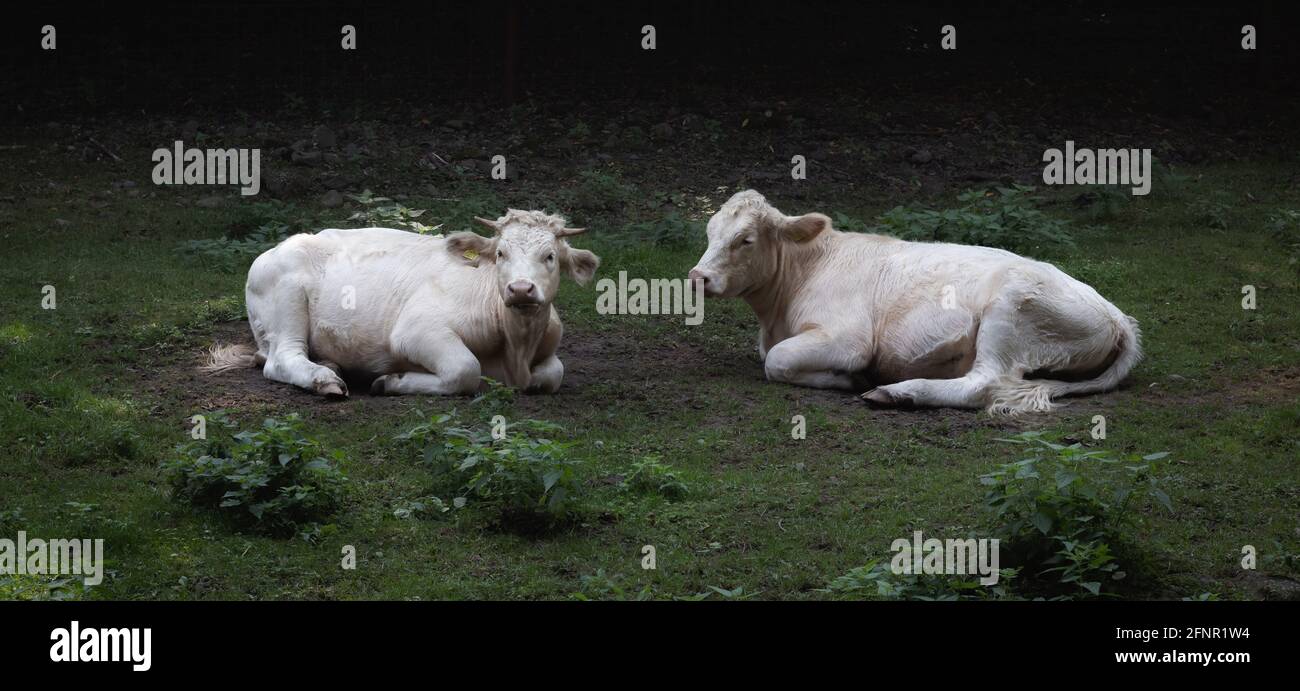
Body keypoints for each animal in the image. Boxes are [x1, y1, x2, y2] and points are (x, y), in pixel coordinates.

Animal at [204, 209, 600, 397]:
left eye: (550, 256)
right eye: (500, 253)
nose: (520, 289)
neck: (516, 348)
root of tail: (274, 249)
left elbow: (553, 374)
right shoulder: (416, 330)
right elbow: (465, 370)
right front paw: (390, 381)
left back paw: (332, 365)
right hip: (286, 302)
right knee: (282, 358)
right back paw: (325, 380)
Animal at [687, 190, 1141, 415]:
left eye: (745, 239)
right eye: (709, 232)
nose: (697, 277)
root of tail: (1119, 316)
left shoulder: (848, 338)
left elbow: (777, 361)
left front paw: (848, 379)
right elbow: (771, 355)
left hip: (1010, 309)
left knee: (984, 383)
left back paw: (896, 392)